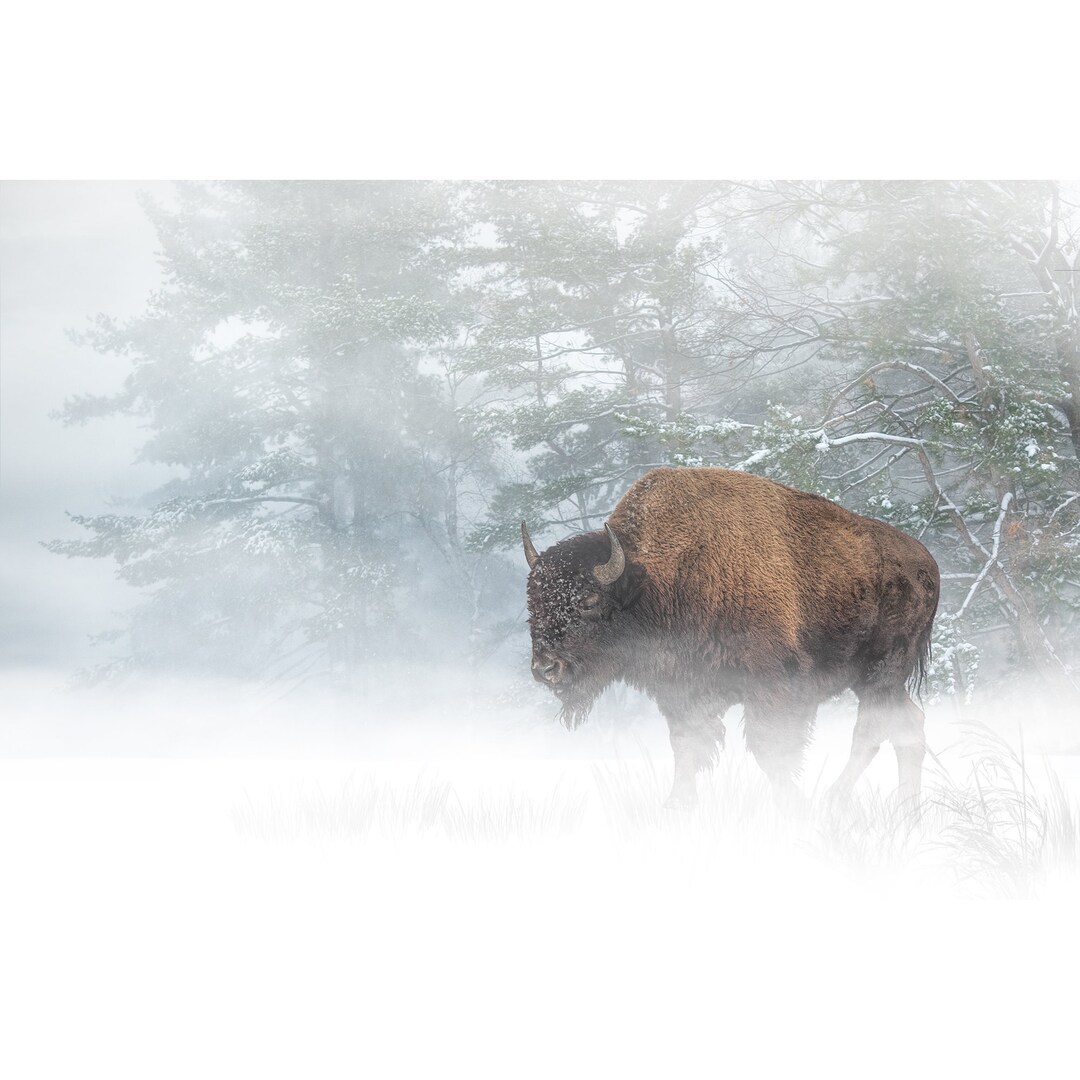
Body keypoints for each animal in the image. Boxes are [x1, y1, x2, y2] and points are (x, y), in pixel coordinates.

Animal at [522, 467, 940, 808]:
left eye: (589, 600)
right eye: (533, 602)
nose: (545, 668)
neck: (657, 579)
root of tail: (927, 561)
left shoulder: (775, 688)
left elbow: (771, 750)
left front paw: (793, 806)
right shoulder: (683, 692)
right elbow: (686, 748)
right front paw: (677, 807)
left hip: (881, 673)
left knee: (873, 730)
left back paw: (835, 800)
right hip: (875, 680)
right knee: (908, 726)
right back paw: (906, 810)